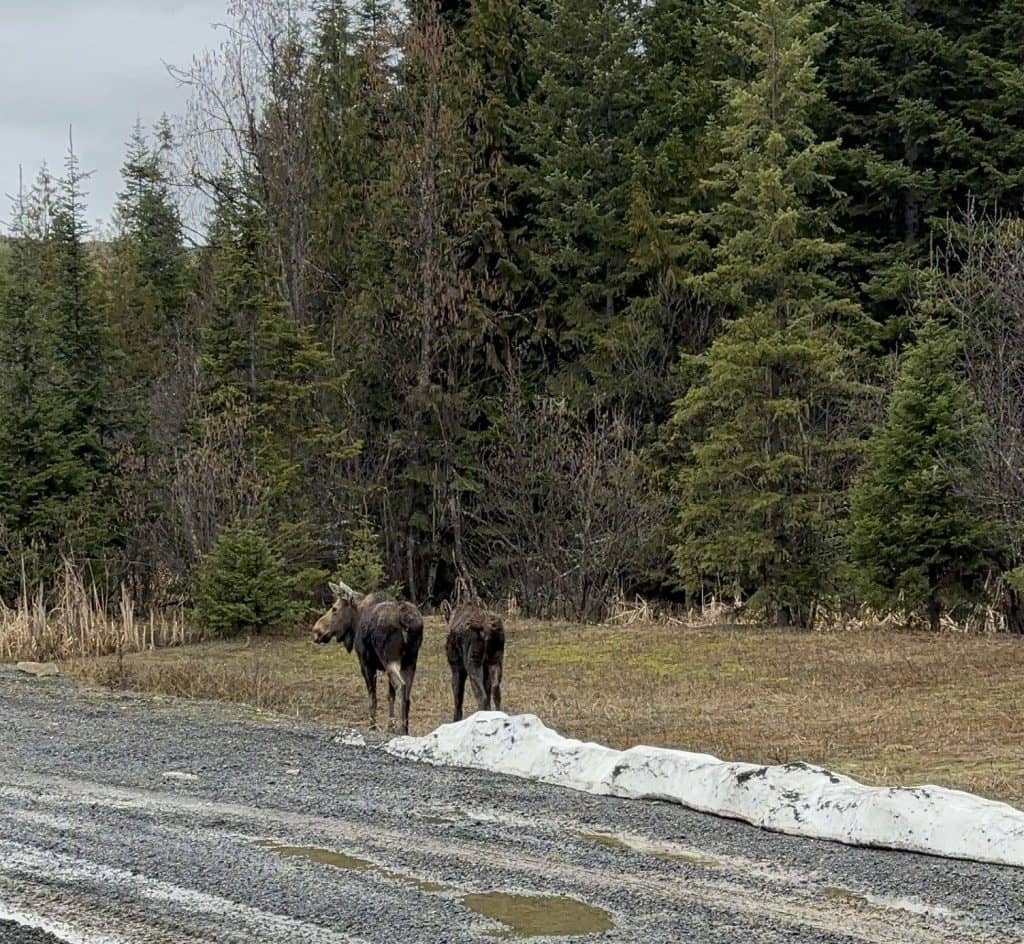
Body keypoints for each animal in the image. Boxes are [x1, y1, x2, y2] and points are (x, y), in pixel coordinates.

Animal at [313, 581, 423, 735]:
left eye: (334, 609)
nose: (316, 630)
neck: (355, 623)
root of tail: (406, 621)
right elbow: (390, 696)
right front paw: (390, 727)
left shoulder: (365, 663)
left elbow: (373, 698)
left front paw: (373, 727)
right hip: (411, 661)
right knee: (406, 694)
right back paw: (405, 730)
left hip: (390, 659)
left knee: (401, 686)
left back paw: (401, 730)